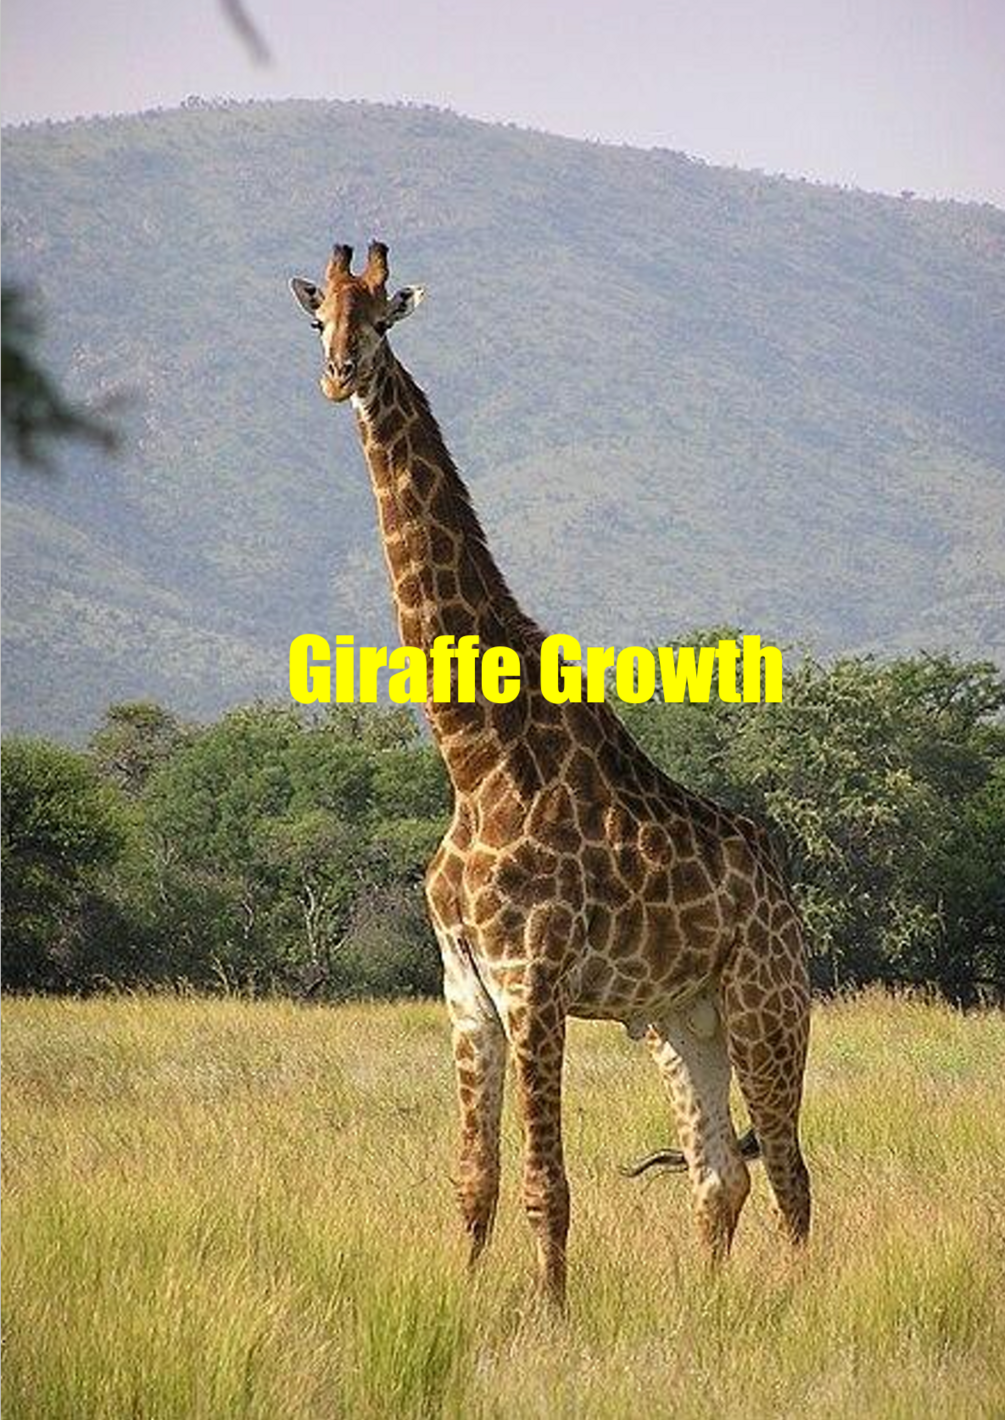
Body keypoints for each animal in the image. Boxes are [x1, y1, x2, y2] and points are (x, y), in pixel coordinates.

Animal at [289, 239, 811, 1309]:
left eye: (382, 319)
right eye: (318, 315)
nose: (338, 374)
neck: (472, 757)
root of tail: (787, 895)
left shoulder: (533, 978)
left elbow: (546, 1182)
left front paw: (549, 1316)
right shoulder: (464, 988)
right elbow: (473, 1178)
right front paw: (461, 1302)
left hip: (766, 1010)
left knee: (789, 1171)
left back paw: (795, 1307)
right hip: (678, 1023)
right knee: (719, 1171)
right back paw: (707, 1309)